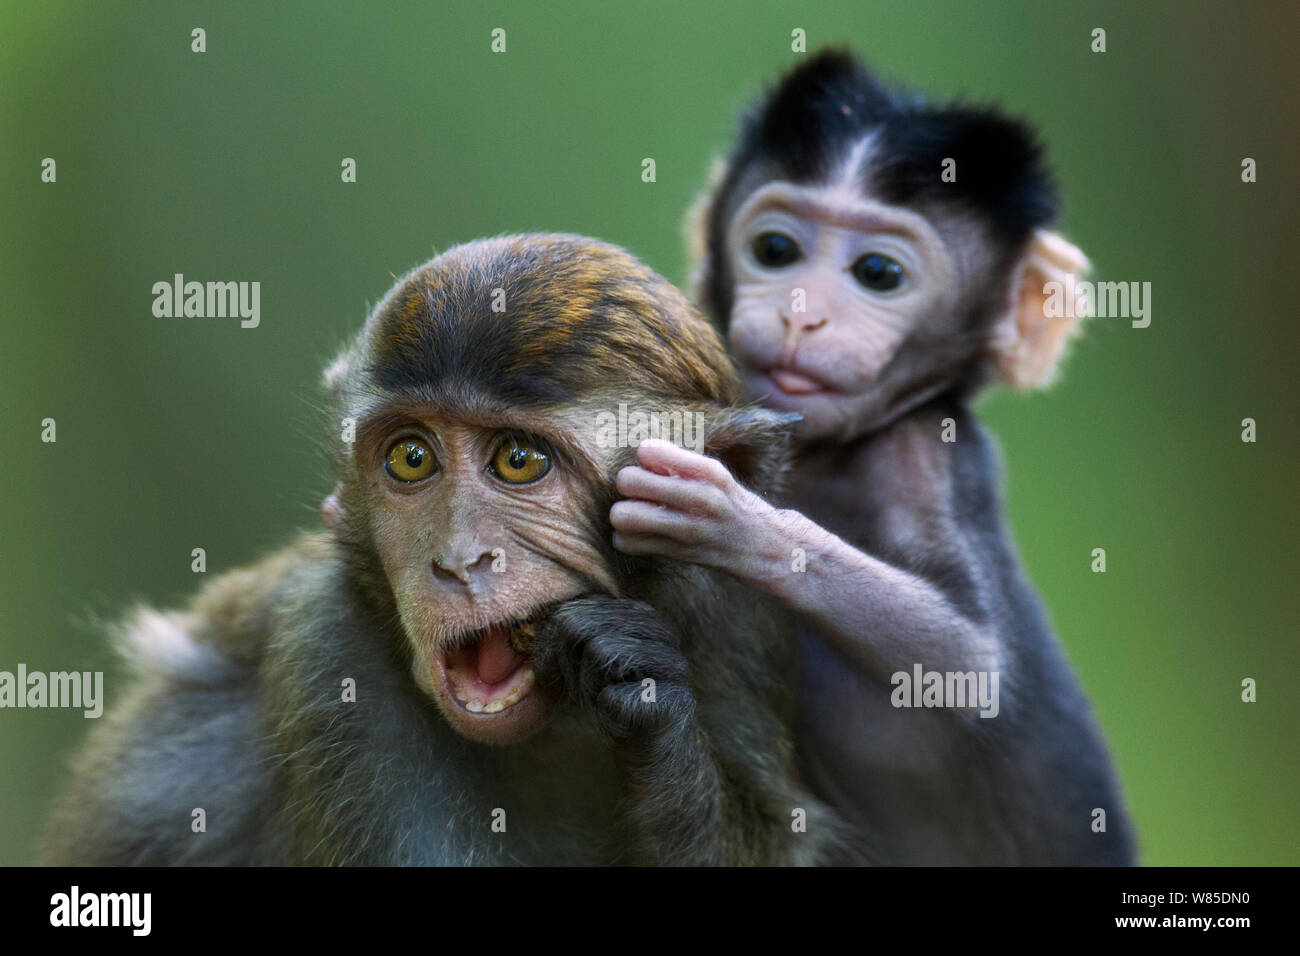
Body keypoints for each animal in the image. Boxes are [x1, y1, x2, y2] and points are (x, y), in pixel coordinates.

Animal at [40, 233, 844, 866]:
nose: (458, 562)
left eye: (519, 460)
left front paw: (642, 690)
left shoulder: (739, 617)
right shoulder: (330, 654)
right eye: (412, 458)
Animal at [608, 51, 1136, 864]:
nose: (800, 313)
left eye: (879, 274)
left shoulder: (925, 458)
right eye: (775, 251)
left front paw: (733, 522)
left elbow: (966, 671)